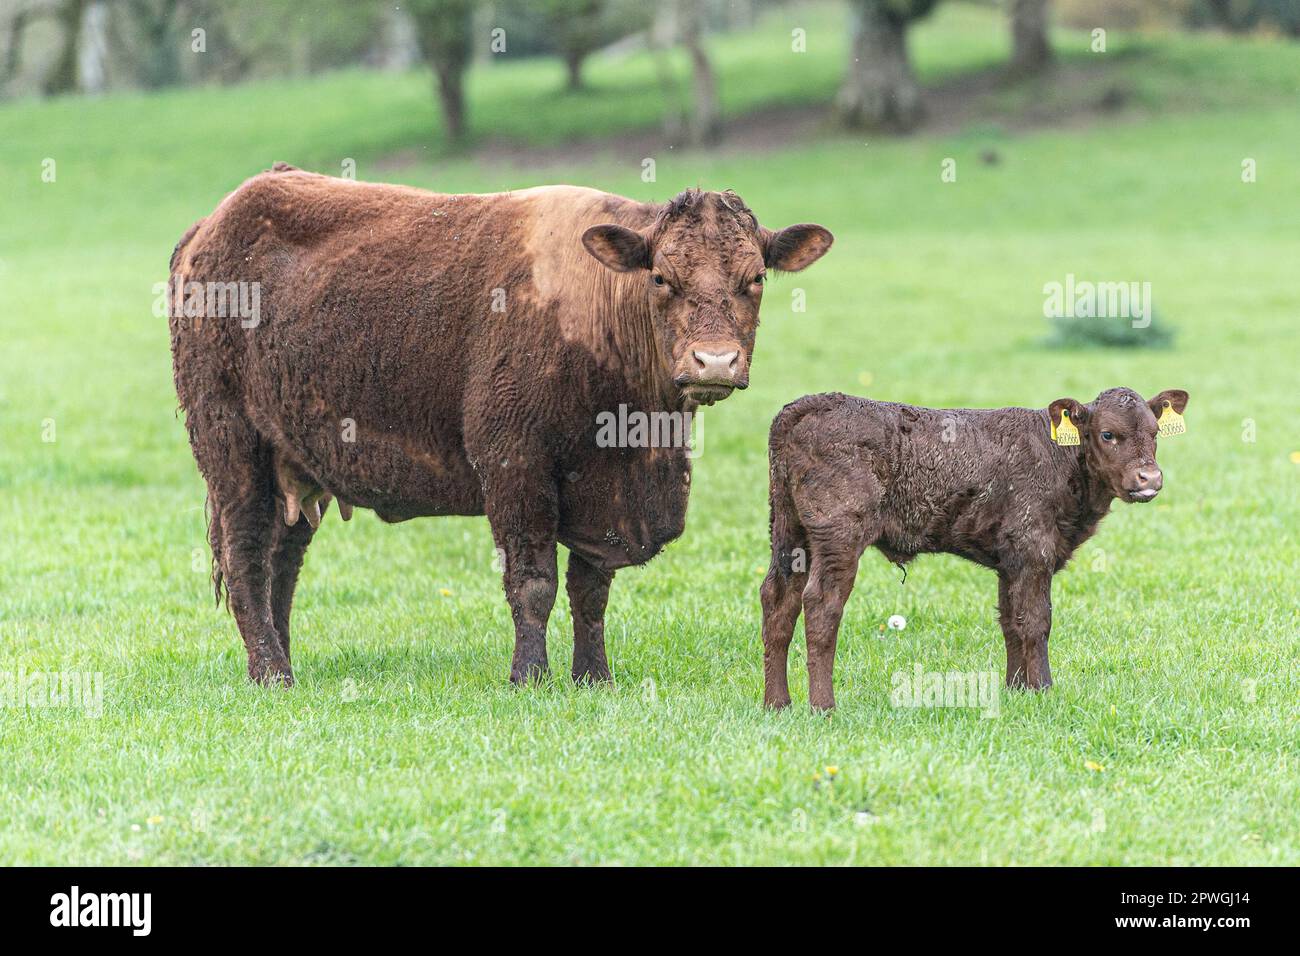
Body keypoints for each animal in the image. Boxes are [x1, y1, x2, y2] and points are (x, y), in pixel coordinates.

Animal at [169, 165, 833, 687]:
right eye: (662, 277)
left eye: (755, 278)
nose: (714, 361)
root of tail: (212, 224)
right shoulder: (515, 464)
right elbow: (534, 581)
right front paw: (530, 675)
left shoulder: (602, 491)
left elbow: (590, 589)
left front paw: (593, 675)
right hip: (230, 448)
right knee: (247, 556)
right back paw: (270, 672)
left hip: (295, 464)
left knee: (283, 560)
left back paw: (283, 660)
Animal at [761, 387, 1189, 710]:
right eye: (1107, 434)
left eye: (1154, 433)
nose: (1149, 478)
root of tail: (809, 404)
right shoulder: (1034, 548)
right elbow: (1037, 621)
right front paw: (1044, 690)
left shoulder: (1010, 559)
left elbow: (1011, 621)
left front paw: (1017, 690)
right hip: (838, 535)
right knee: (821, 604)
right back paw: (823, 706)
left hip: (789, 533)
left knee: (778, 601)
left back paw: (777, 704)